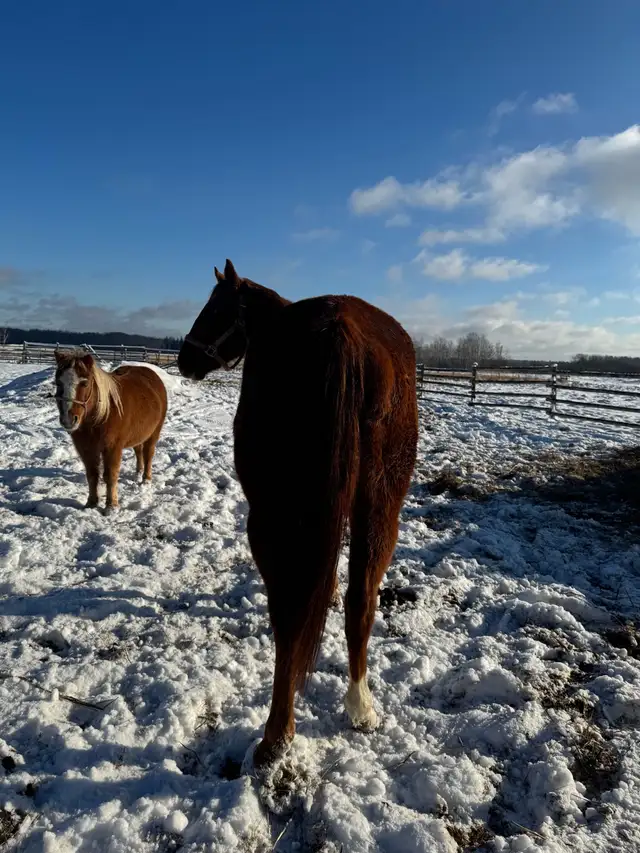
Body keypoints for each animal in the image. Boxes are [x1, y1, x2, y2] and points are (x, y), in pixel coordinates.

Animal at [53, 351, 168, 514]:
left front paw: (111, 506)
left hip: (154, 433)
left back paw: (146, 479)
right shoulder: (86, 449)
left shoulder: (112, 448)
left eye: (85, 383)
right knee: (138, 451)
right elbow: (92, 475)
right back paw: (138, 473)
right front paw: (91, 503)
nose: (68, 420)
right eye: (58, 383)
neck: (101, 416)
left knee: (148, 454)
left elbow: (110, 476)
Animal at [178, 260, 418, 770]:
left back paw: (276, 734)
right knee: (361, 599)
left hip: (272, 517)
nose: (186, 359)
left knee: (288, 617)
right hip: (381, 504)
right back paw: (360, 706)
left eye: (216, 307)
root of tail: (344, 333)